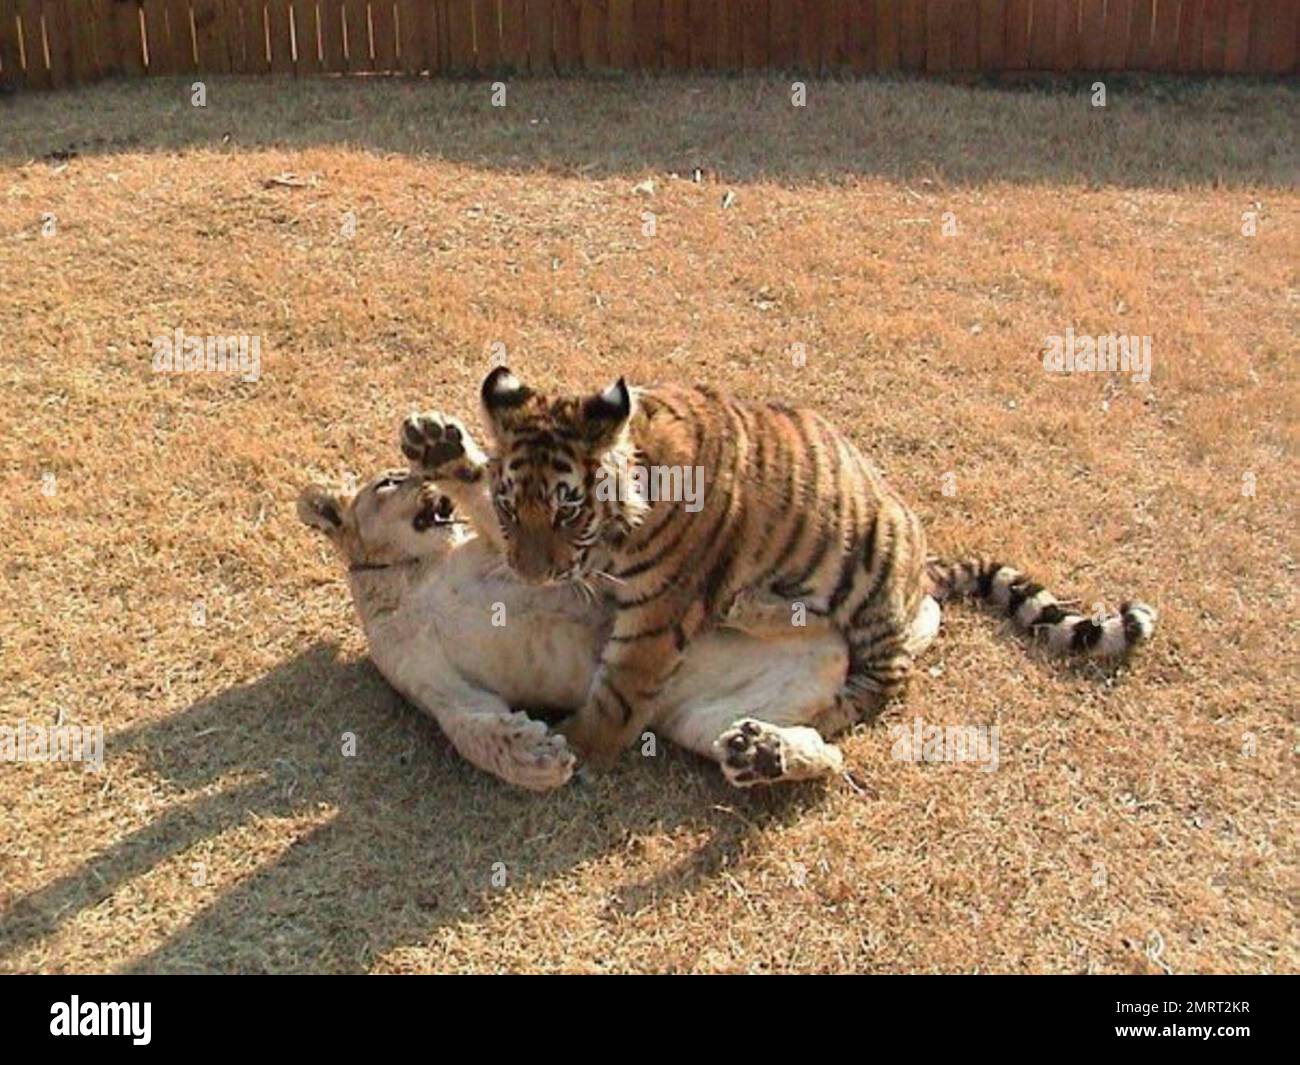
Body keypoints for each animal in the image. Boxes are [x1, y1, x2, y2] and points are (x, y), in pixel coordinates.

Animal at [474, 366, 1157, 765]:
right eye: (509, 506)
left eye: (567, 511)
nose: (530, 575)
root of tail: (921, 568)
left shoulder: (655, 616)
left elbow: (616, 697)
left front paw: (568, 747)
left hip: (872, 594)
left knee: (876, 686)